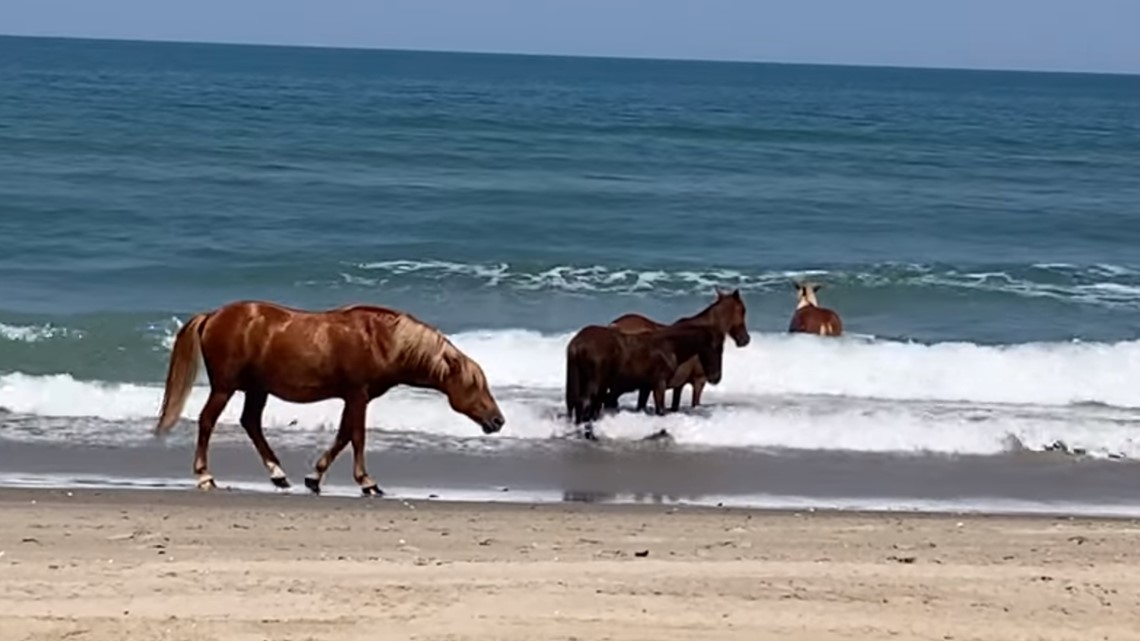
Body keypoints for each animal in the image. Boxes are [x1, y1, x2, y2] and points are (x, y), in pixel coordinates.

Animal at [154, 300, 505, 495]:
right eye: (474, 385)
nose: (498, 421)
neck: (382, 339)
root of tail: (213, 315)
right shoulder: (358, 394)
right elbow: (358, 437)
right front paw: (367, 482)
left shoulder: (354, 397)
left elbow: (343, 436)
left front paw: (314, 477)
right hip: (225, 388)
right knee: (207, 421)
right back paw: (205, 476)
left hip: (257, 389)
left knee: (250, 422)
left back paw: (279, 475)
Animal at [564, 323, 725, 429]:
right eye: (716, 348)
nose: (715, 378)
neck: (669, 346)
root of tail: (576, 344)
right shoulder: (659, 384)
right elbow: (660, 409)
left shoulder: (646, 387)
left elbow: (641, 406)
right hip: (594, 383)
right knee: (584, 402)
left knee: (576, 403)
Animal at [605, 288, 749, 411]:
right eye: (743, 310)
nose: (745, 340)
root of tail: (614, 325)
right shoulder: (699, 381)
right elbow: (694, 403)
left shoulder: (678, 385)